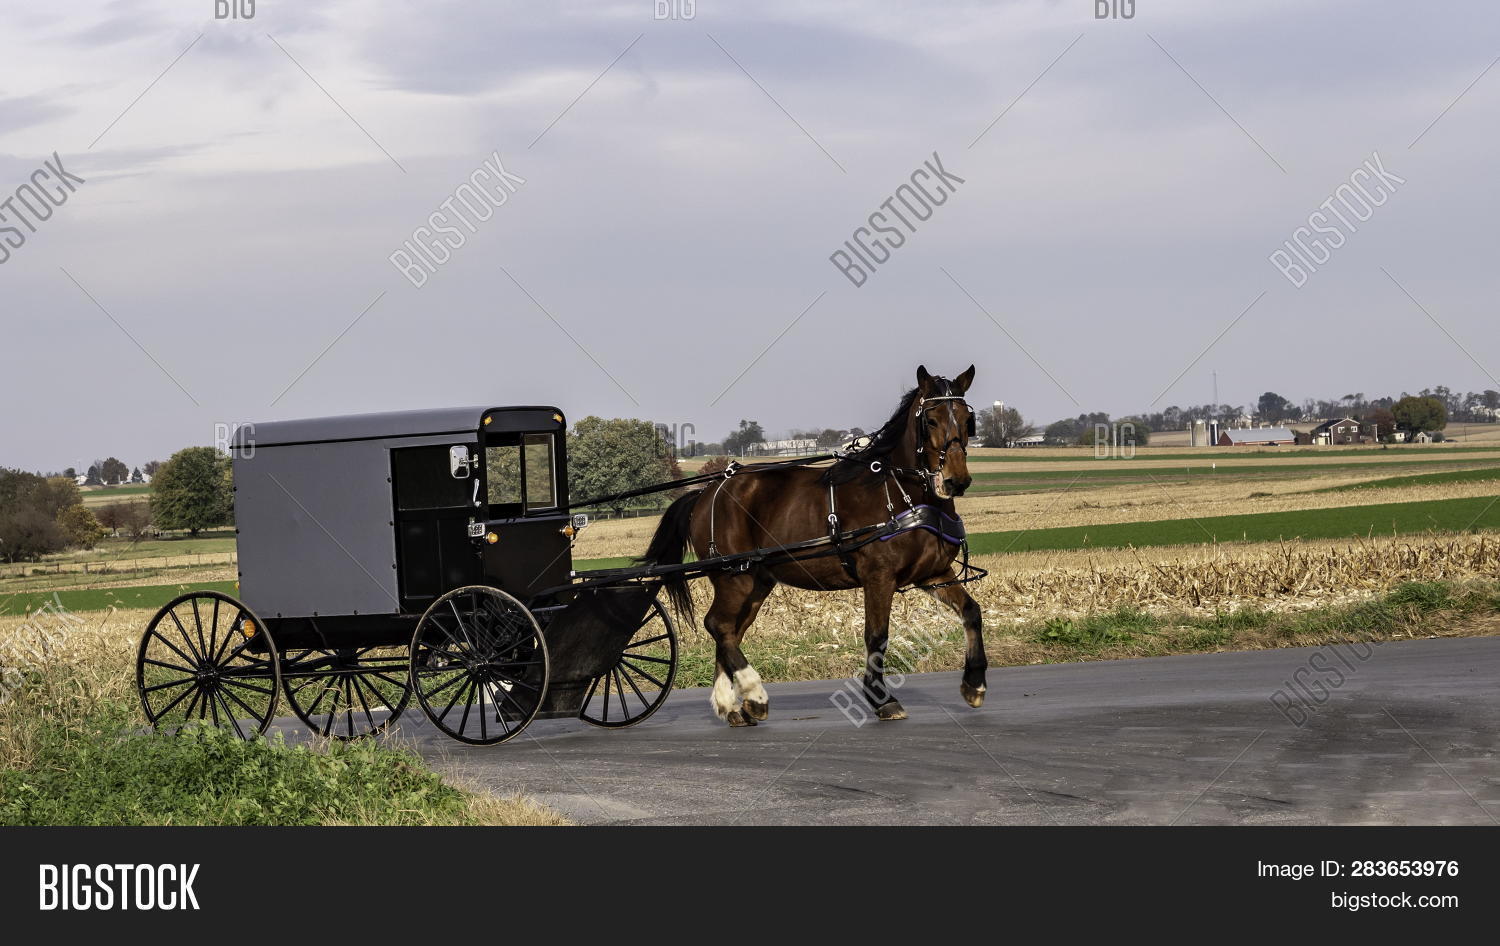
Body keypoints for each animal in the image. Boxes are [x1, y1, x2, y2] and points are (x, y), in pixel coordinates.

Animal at [642, 365, 986, 726]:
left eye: (967, 420)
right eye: (930, 420)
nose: (956, 480)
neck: (899, 492)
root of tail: (705, 493)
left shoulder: (933, 574)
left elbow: (971, 611)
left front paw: (974, 684)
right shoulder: (879, 577)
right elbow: (877, 635)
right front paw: (881, 698)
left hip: (756, 581)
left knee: (730, 631)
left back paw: (733, 705)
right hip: (733, 577)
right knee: (718, 625)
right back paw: (753, 694)